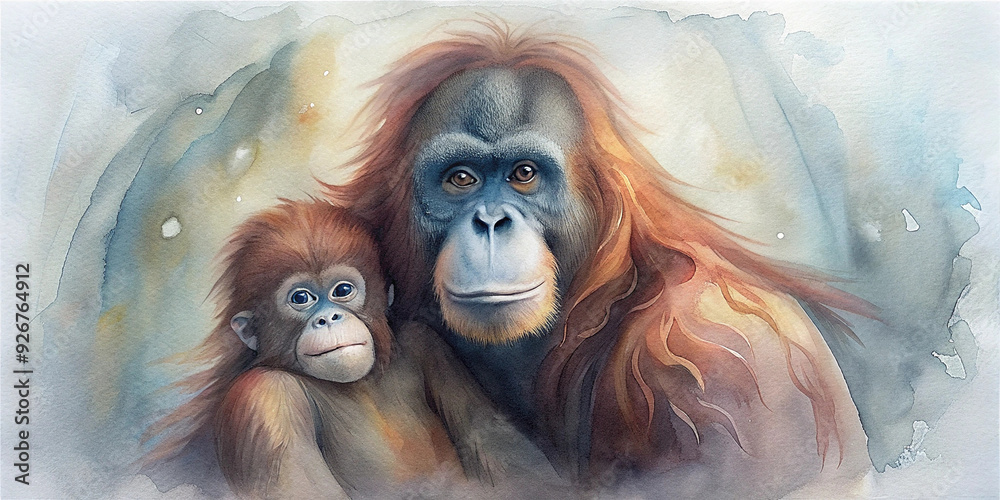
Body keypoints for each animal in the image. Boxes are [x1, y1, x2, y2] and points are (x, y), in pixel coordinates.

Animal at [144, 199, 559, 499]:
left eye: (342, 290)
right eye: (301, 298)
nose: (328, 318)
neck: (358, 385)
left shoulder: (423, 342)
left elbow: (489, 436)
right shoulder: (262, 397)